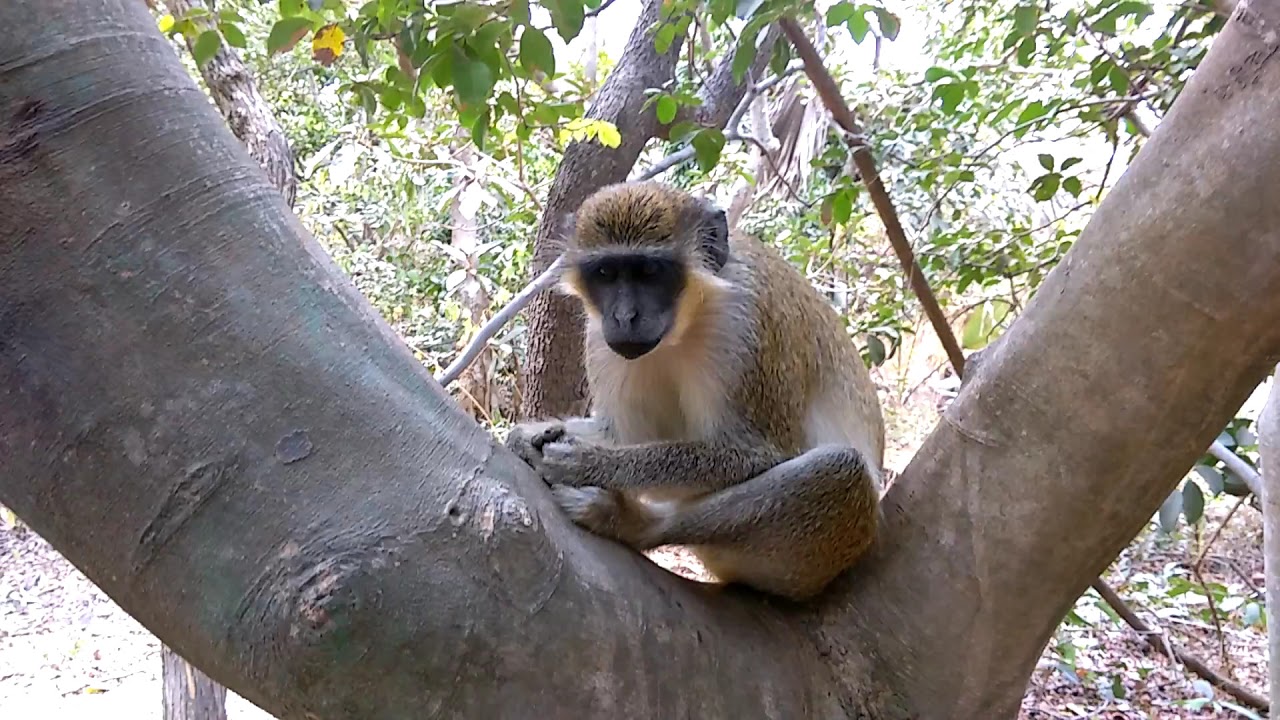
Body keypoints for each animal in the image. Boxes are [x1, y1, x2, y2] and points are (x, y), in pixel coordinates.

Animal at [506, 180, 885, 602]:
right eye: (605, 272)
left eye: (650, 271)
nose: (623, 317)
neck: (688, 318)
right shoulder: (599, 340)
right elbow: (623, 434)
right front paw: (527, 436)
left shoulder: (747, 324)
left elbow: (760, 454)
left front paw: (593, 463)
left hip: (815, 562)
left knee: (841, 468)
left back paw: (631, 522)